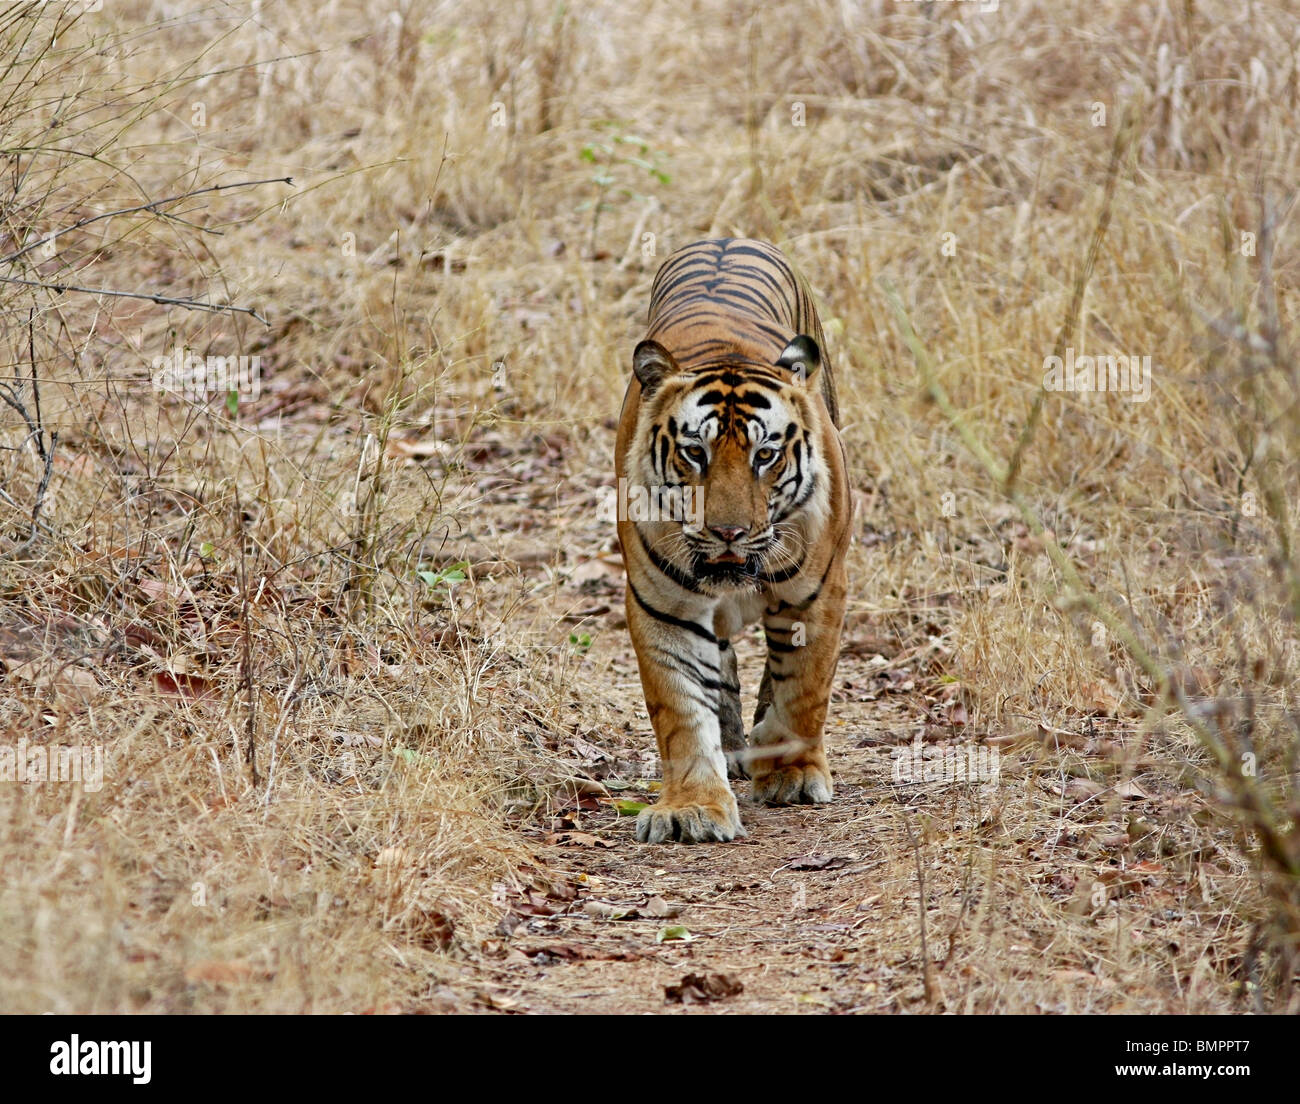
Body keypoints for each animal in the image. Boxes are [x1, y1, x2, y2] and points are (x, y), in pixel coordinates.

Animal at [614, 238, 853, 843]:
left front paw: (792, 774)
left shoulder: (818, 591)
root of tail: (726, 237)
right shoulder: (663, 604)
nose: (728, 532)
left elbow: (804, 687)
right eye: (693, 452)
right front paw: (693, 807)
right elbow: (680, 709)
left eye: (764, 454)